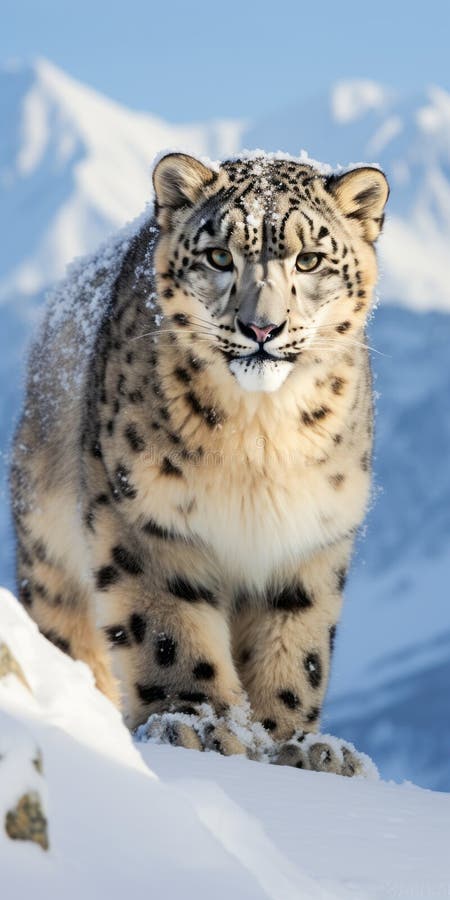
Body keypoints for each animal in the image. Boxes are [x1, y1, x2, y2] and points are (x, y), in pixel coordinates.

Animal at [10, 152, 389, 774]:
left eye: (309, 259)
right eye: (218, 255)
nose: (262, 328)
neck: (259, 440)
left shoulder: (311, 539)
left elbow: (298, 646)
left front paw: (299, 745)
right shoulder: (147, 517)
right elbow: (168, 627)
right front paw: (202, 725)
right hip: (49, 557)